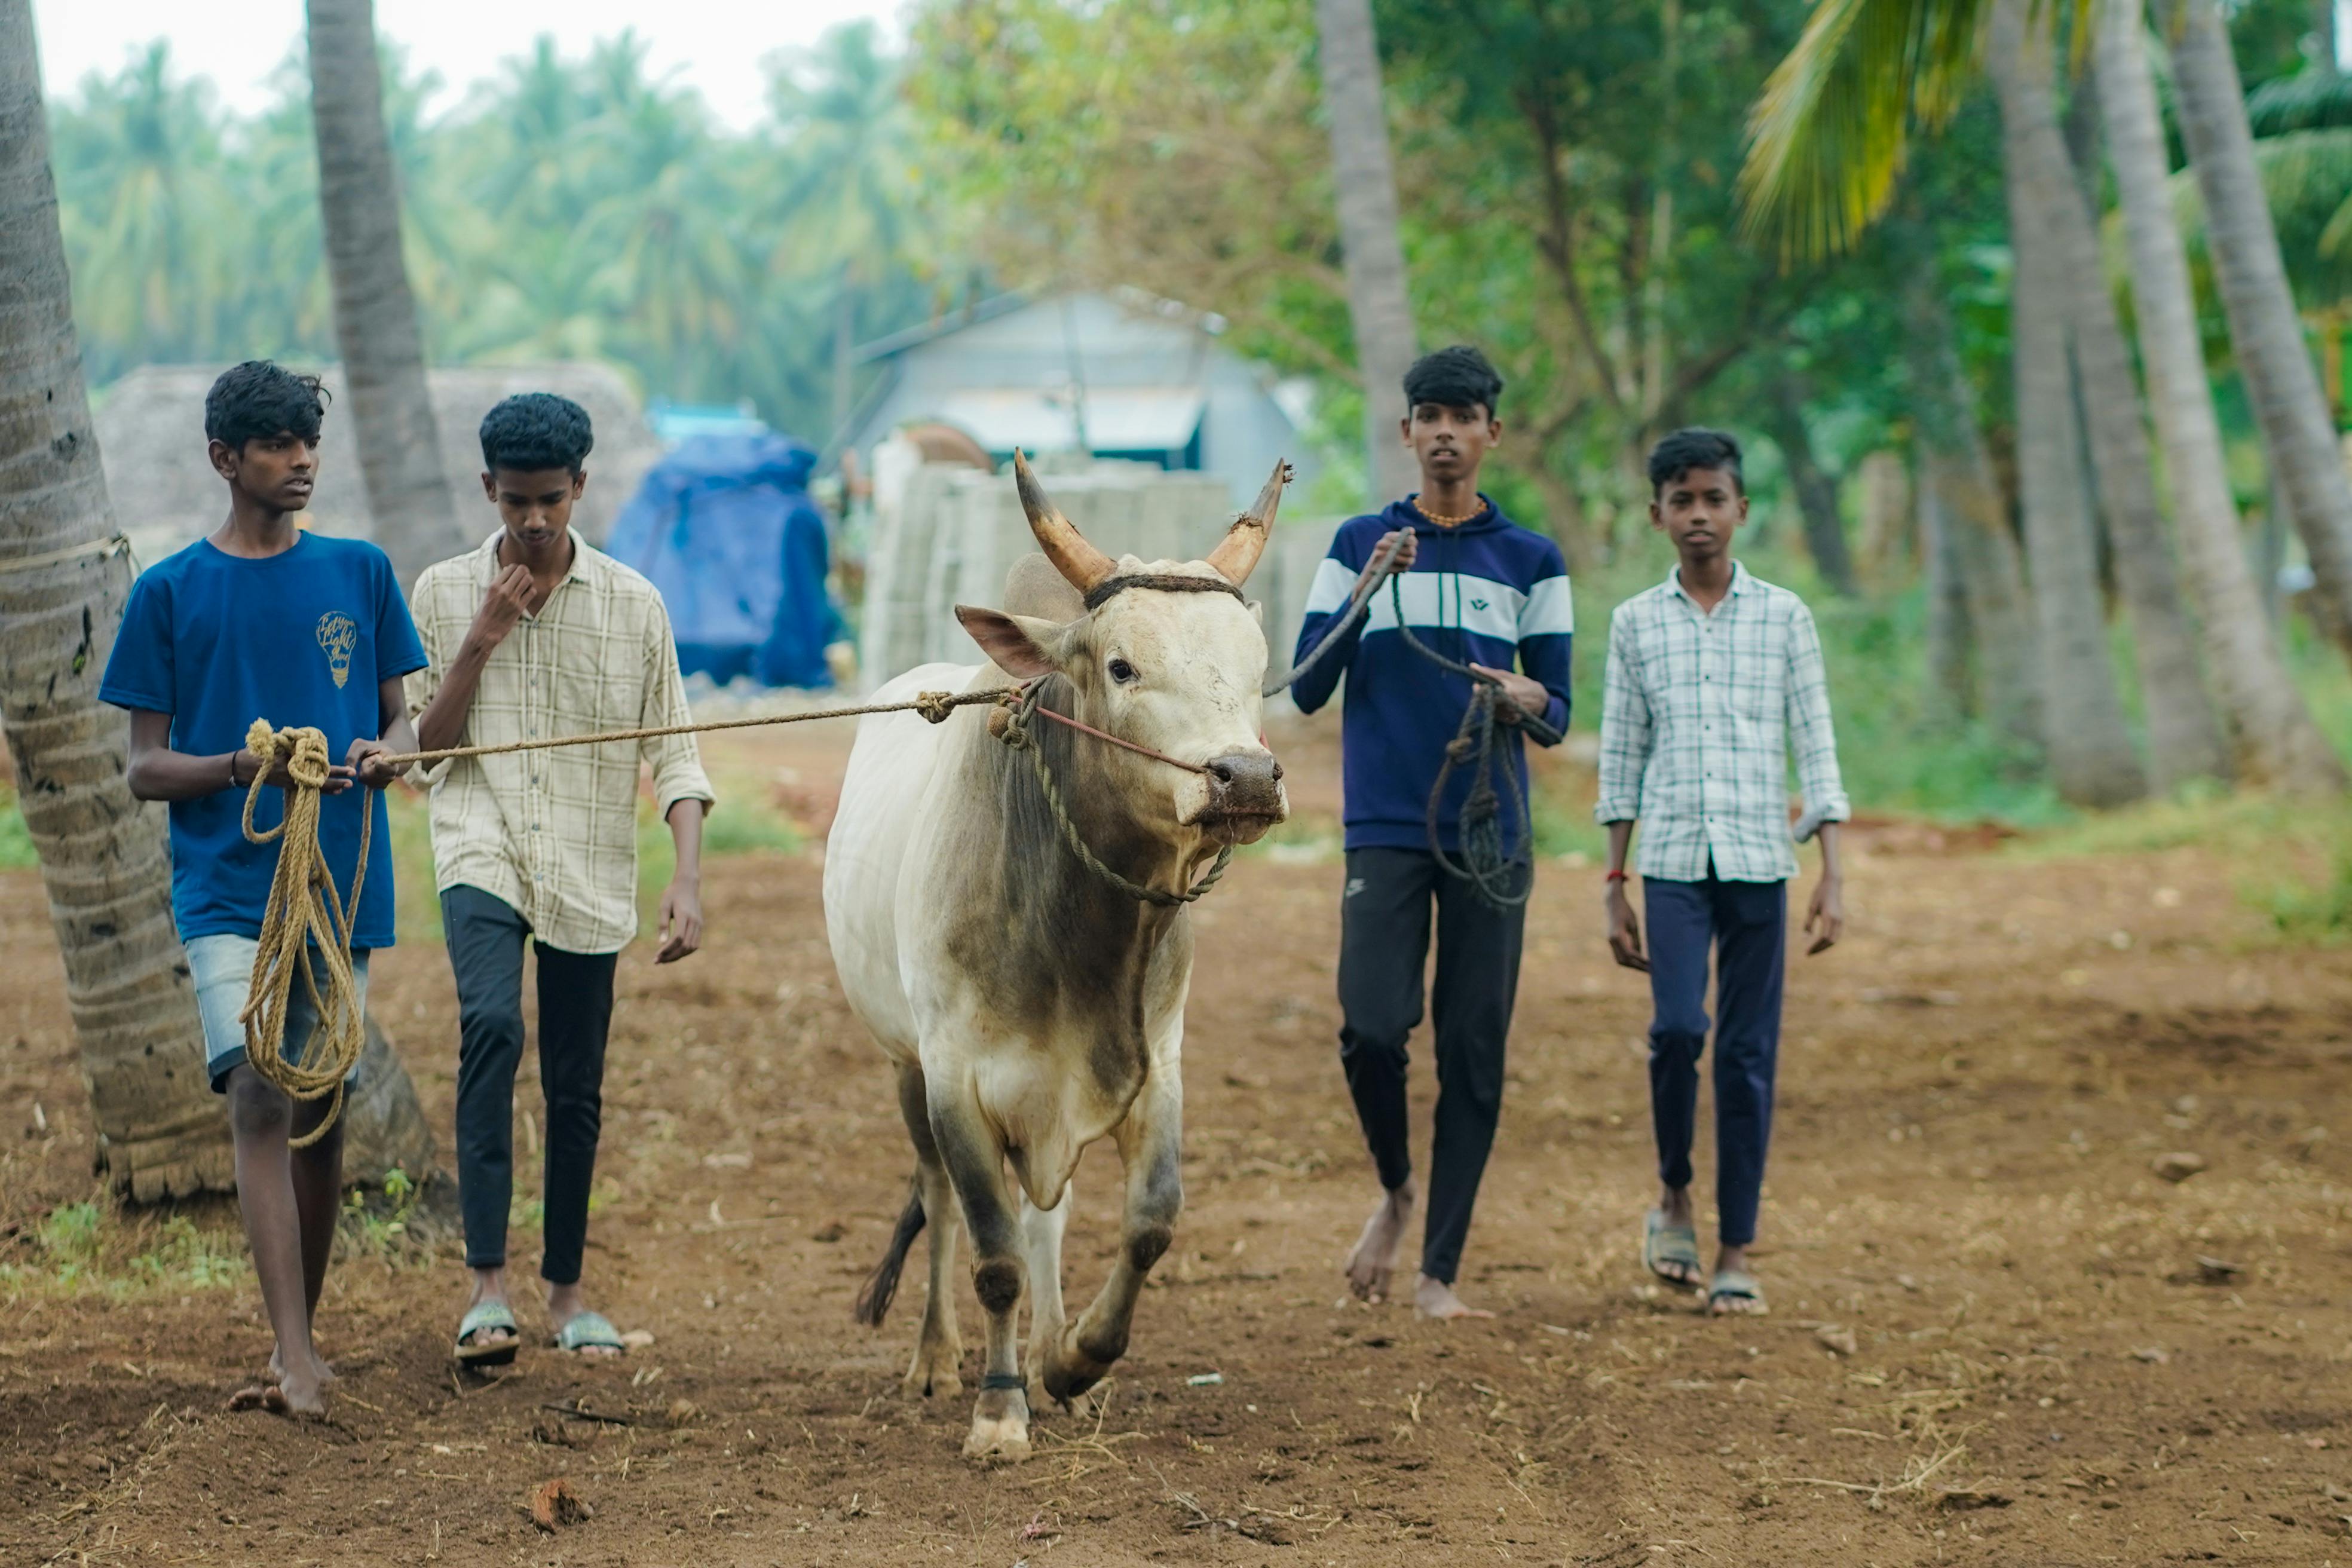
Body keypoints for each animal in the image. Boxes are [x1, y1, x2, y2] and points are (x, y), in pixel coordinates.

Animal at [823, 453, 1290, 1460]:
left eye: (1258, 667)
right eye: (1122, 666)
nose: (1245, 777)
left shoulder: (1157, 1068)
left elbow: (1147, 1224)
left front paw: (1076, 1361)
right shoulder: (955, 1082)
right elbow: (993, 1252)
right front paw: (999, 1409)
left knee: (1050, 1219)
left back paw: (1049, 1355)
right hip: (902, 1064)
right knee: (944, 1202)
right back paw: (939, 1357)